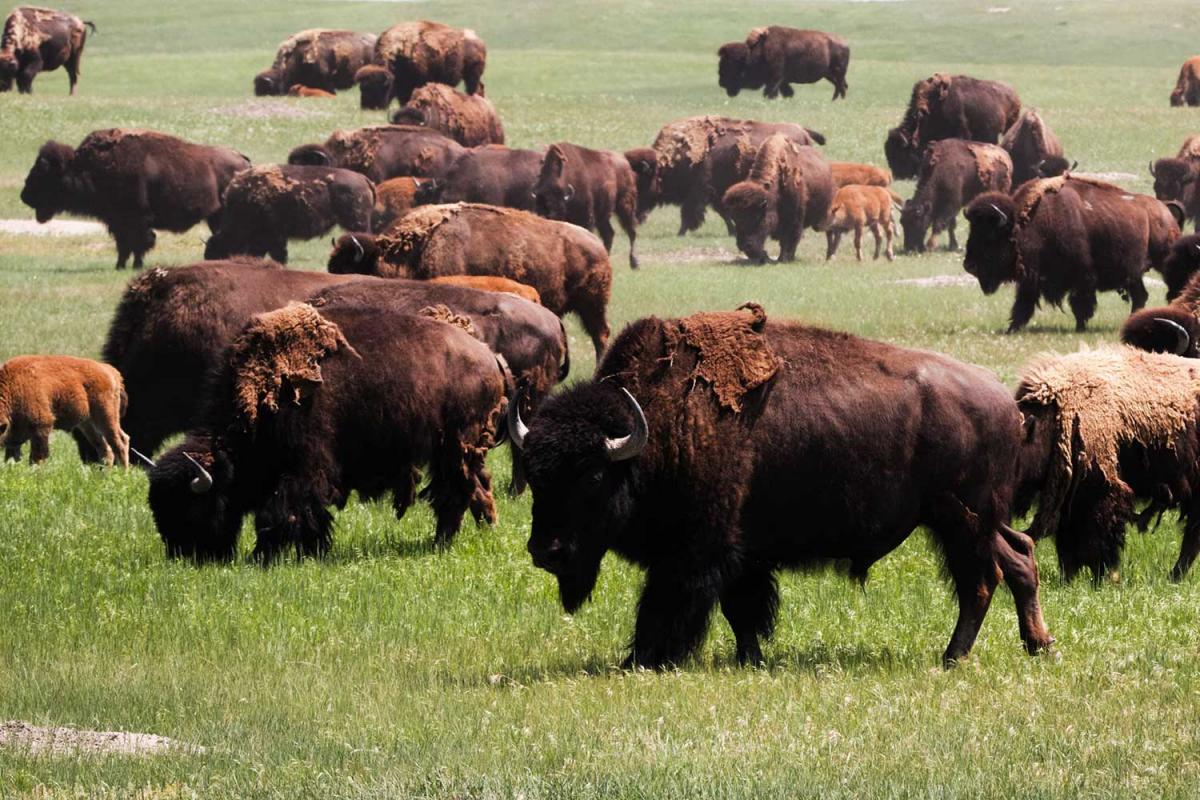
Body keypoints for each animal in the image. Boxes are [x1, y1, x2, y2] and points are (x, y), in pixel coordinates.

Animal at [20, 128, 249, 269]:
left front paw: (135, 265)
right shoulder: (117, 222)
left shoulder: (137, 219)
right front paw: (120, 265)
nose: (24, 196)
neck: (84, 166)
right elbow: (124, 245)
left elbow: (139, 242)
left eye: (44, 172)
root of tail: (243, 161)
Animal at [509, 304, 1052, 669]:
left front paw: (644, 659)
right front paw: (749, 659)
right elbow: (740, 609)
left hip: (962, 521)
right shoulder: (742, 554)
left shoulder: (699, 550)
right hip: (976, 521)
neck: (654, 427)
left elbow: (672, 605)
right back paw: (1038, 645)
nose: (545, 551)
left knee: (981, 581)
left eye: (592, 475)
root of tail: (1006, 403)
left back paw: (953, 657)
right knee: (1019, 556)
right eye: (535, 477)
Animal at [717, 26, 849, 100]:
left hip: (837, 73)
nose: (721, 83)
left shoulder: (775, 78)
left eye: (731, 64)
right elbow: (786, 91)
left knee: (841, 86)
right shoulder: (782, 81)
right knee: (838, 86)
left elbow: (770, 91)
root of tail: (844, 43)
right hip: (829, 75)